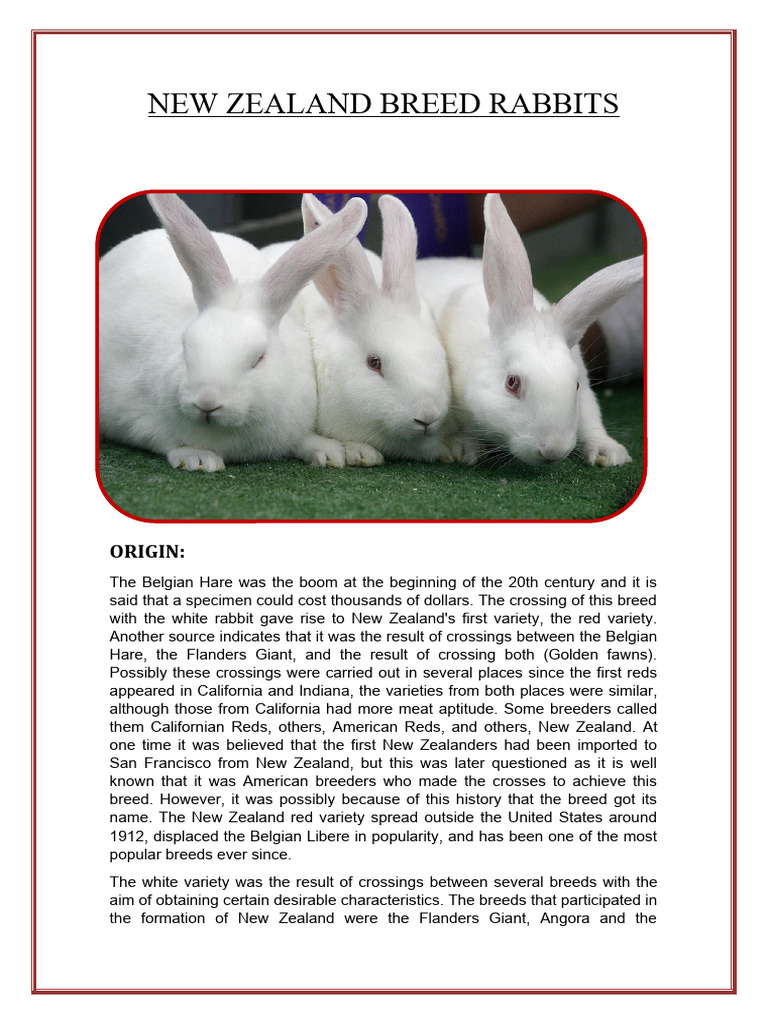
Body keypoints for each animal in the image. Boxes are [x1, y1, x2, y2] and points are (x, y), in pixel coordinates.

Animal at [98, 192, 367, 471]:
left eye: (258, 359)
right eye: (185, 348)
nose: (207, 402)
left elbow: (303, 440)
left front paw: (328, 452)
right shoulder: (135, 417)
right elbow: (164, 440)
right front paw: (198, 458)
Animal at [415, 193, 644, 467]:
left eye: (576, 384)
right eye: (512, 383)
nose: (553, 450)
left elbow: (590, 416)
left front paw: (608, 453)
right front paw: (464, 449)